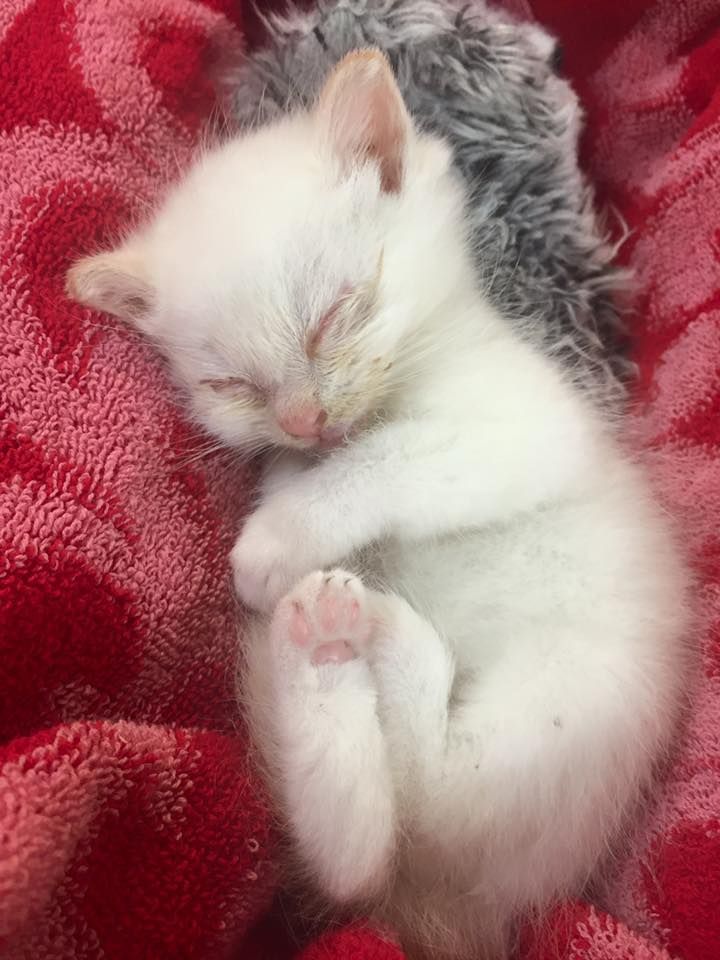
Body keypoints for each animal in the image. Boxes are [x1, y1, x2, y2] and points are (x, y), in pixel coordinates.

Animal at [69, 48, 692, 960]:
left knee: (432, 790)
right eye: (231, 386)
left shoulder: (528, 428)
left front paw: (280, 538)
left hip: (564, 708)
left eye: (336, 316)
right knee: (357, 860)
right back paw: (321, 645)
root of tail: (445, 914)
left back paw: (365, 623)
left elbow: (384, 462)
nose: (304, 421)